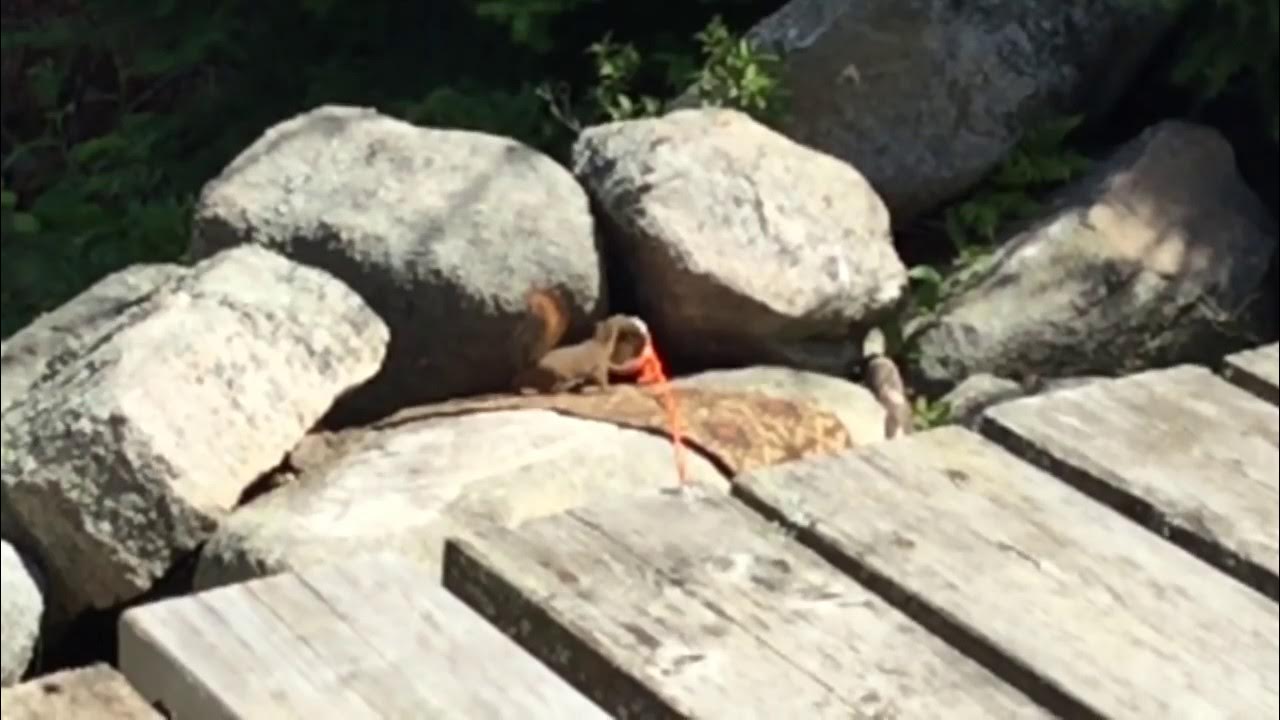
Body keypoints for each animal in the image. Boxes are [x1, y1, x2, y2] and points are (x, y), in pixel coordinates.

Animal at [511, 289, 650, 394]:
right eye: (624, 318)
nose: (639, 323)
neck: (602, 343)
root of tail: (534, 364)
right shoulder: (599, 367)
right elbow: (602, 380)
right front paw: (609, 390)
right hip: (558, 374)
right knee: (554, 387)